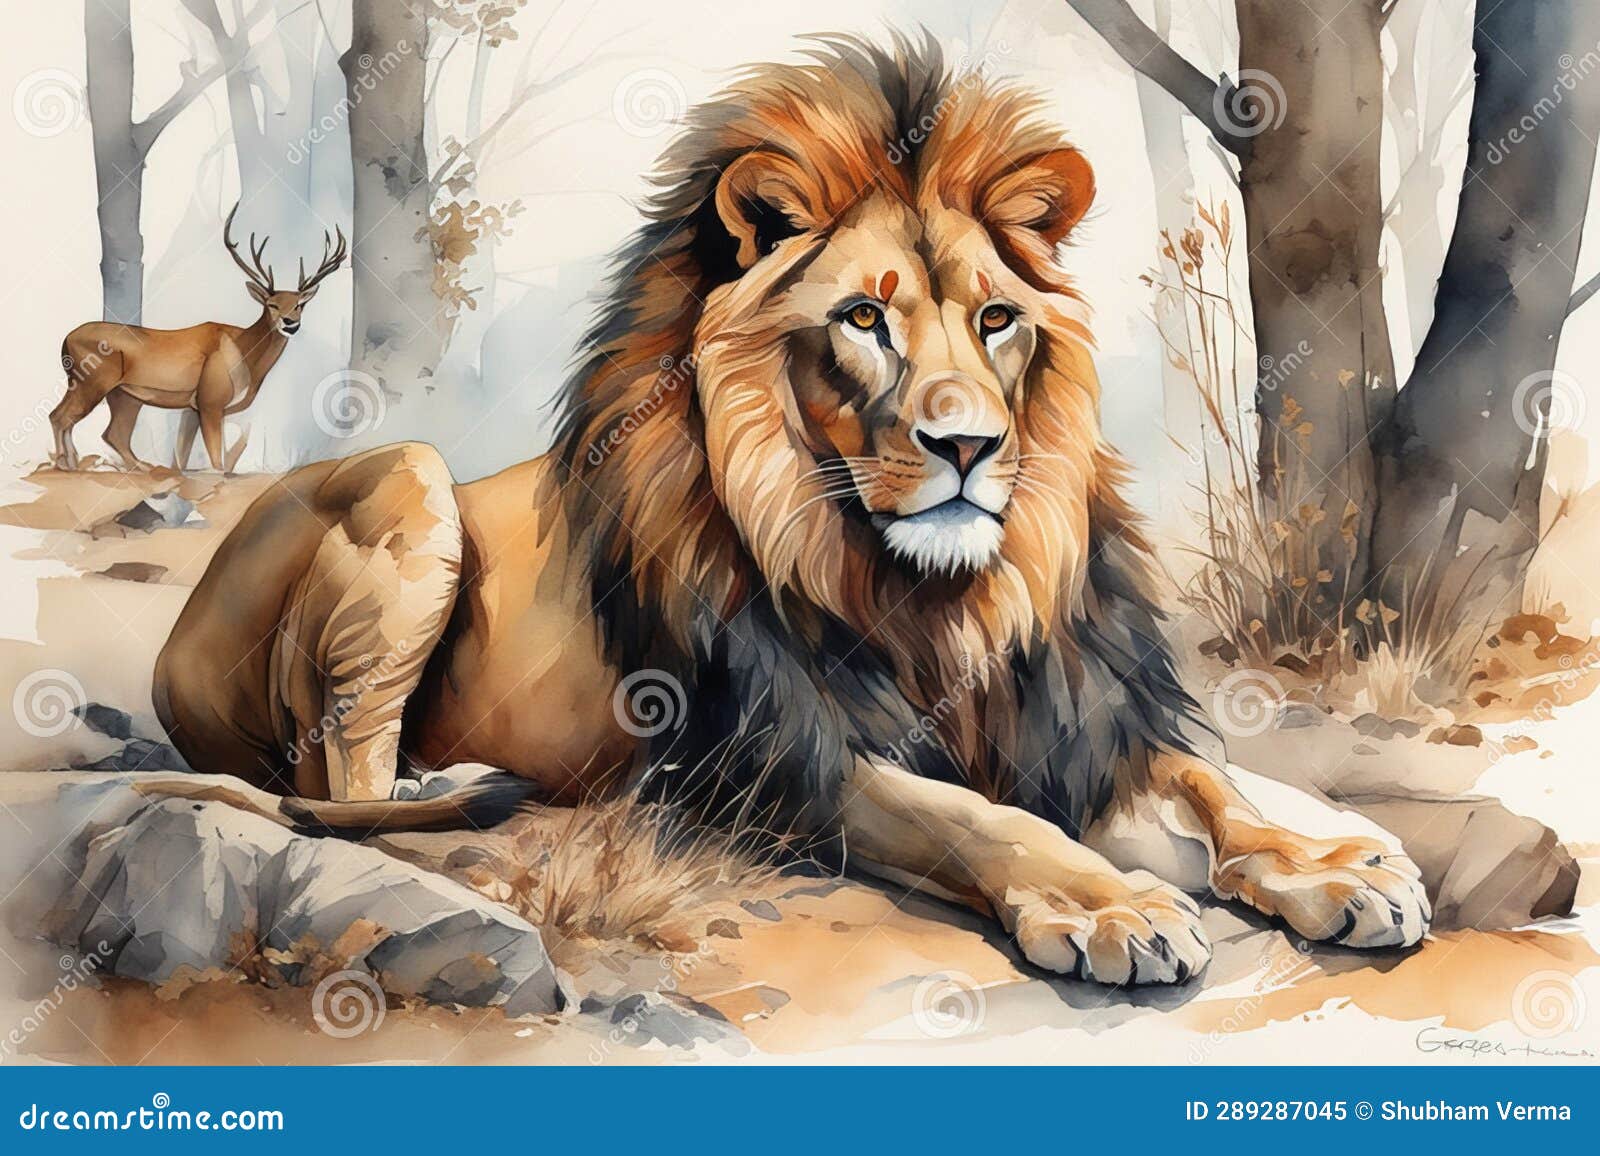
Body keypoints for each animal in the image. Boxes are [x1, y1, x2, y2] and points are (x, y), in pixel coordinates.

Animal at [153, 37, 1429, 985]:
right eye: (864, 320)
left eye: (996, 320)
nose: (968, 445)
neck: (929, 588)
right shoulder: (777, 751)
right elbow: (978, 818)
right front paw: (1112, 906)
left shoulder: (1072, 716)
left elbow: (1211, 785)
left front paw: (1337, 862)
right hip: (411, 480)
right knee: (343, 776)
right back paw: (447, 787)